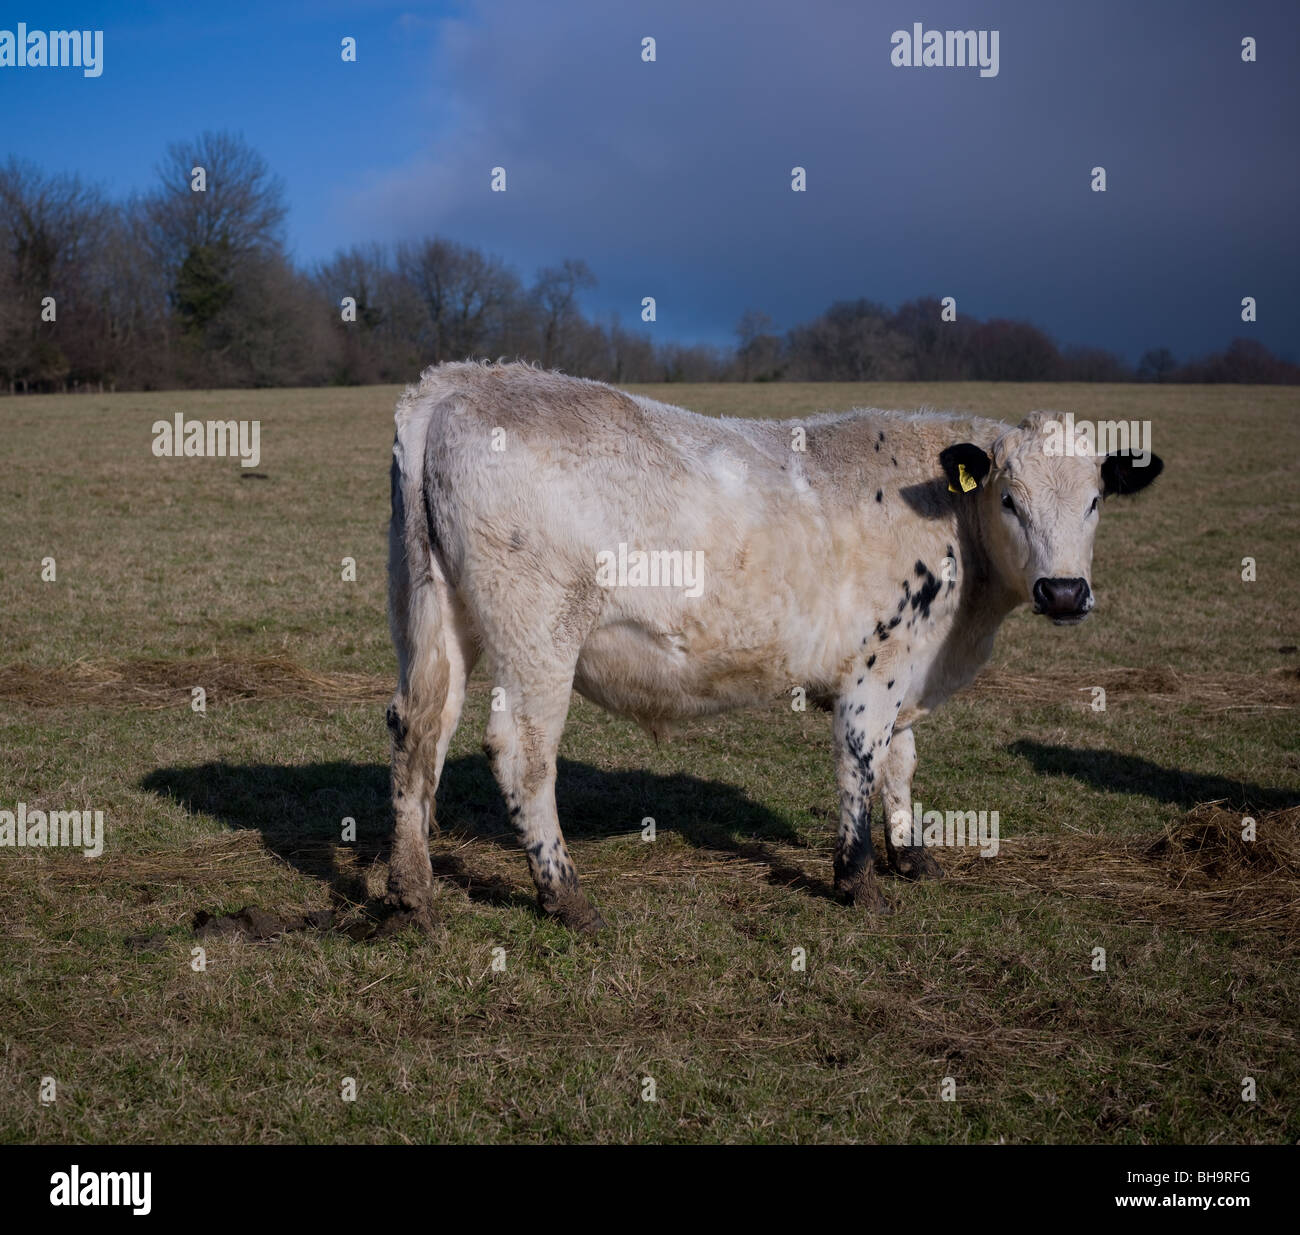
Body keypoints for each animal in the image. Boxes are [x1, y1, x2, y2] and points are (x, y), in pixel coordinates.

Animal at [384, 362, 1162, 931]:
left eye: (1095, 500)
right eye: (1009, 498)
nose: (1063, 591)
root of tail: (457, 382)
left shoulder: (910, 670)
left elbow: (901, 763)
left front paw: (912, 856)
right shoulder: (875, 667)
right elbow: (861, 762)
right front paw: (858, 881)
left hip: (441, 618)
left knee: (419, 729)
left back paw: (411, 889)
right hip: (540, 634)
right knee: (521, 753)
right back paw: (564, 894)